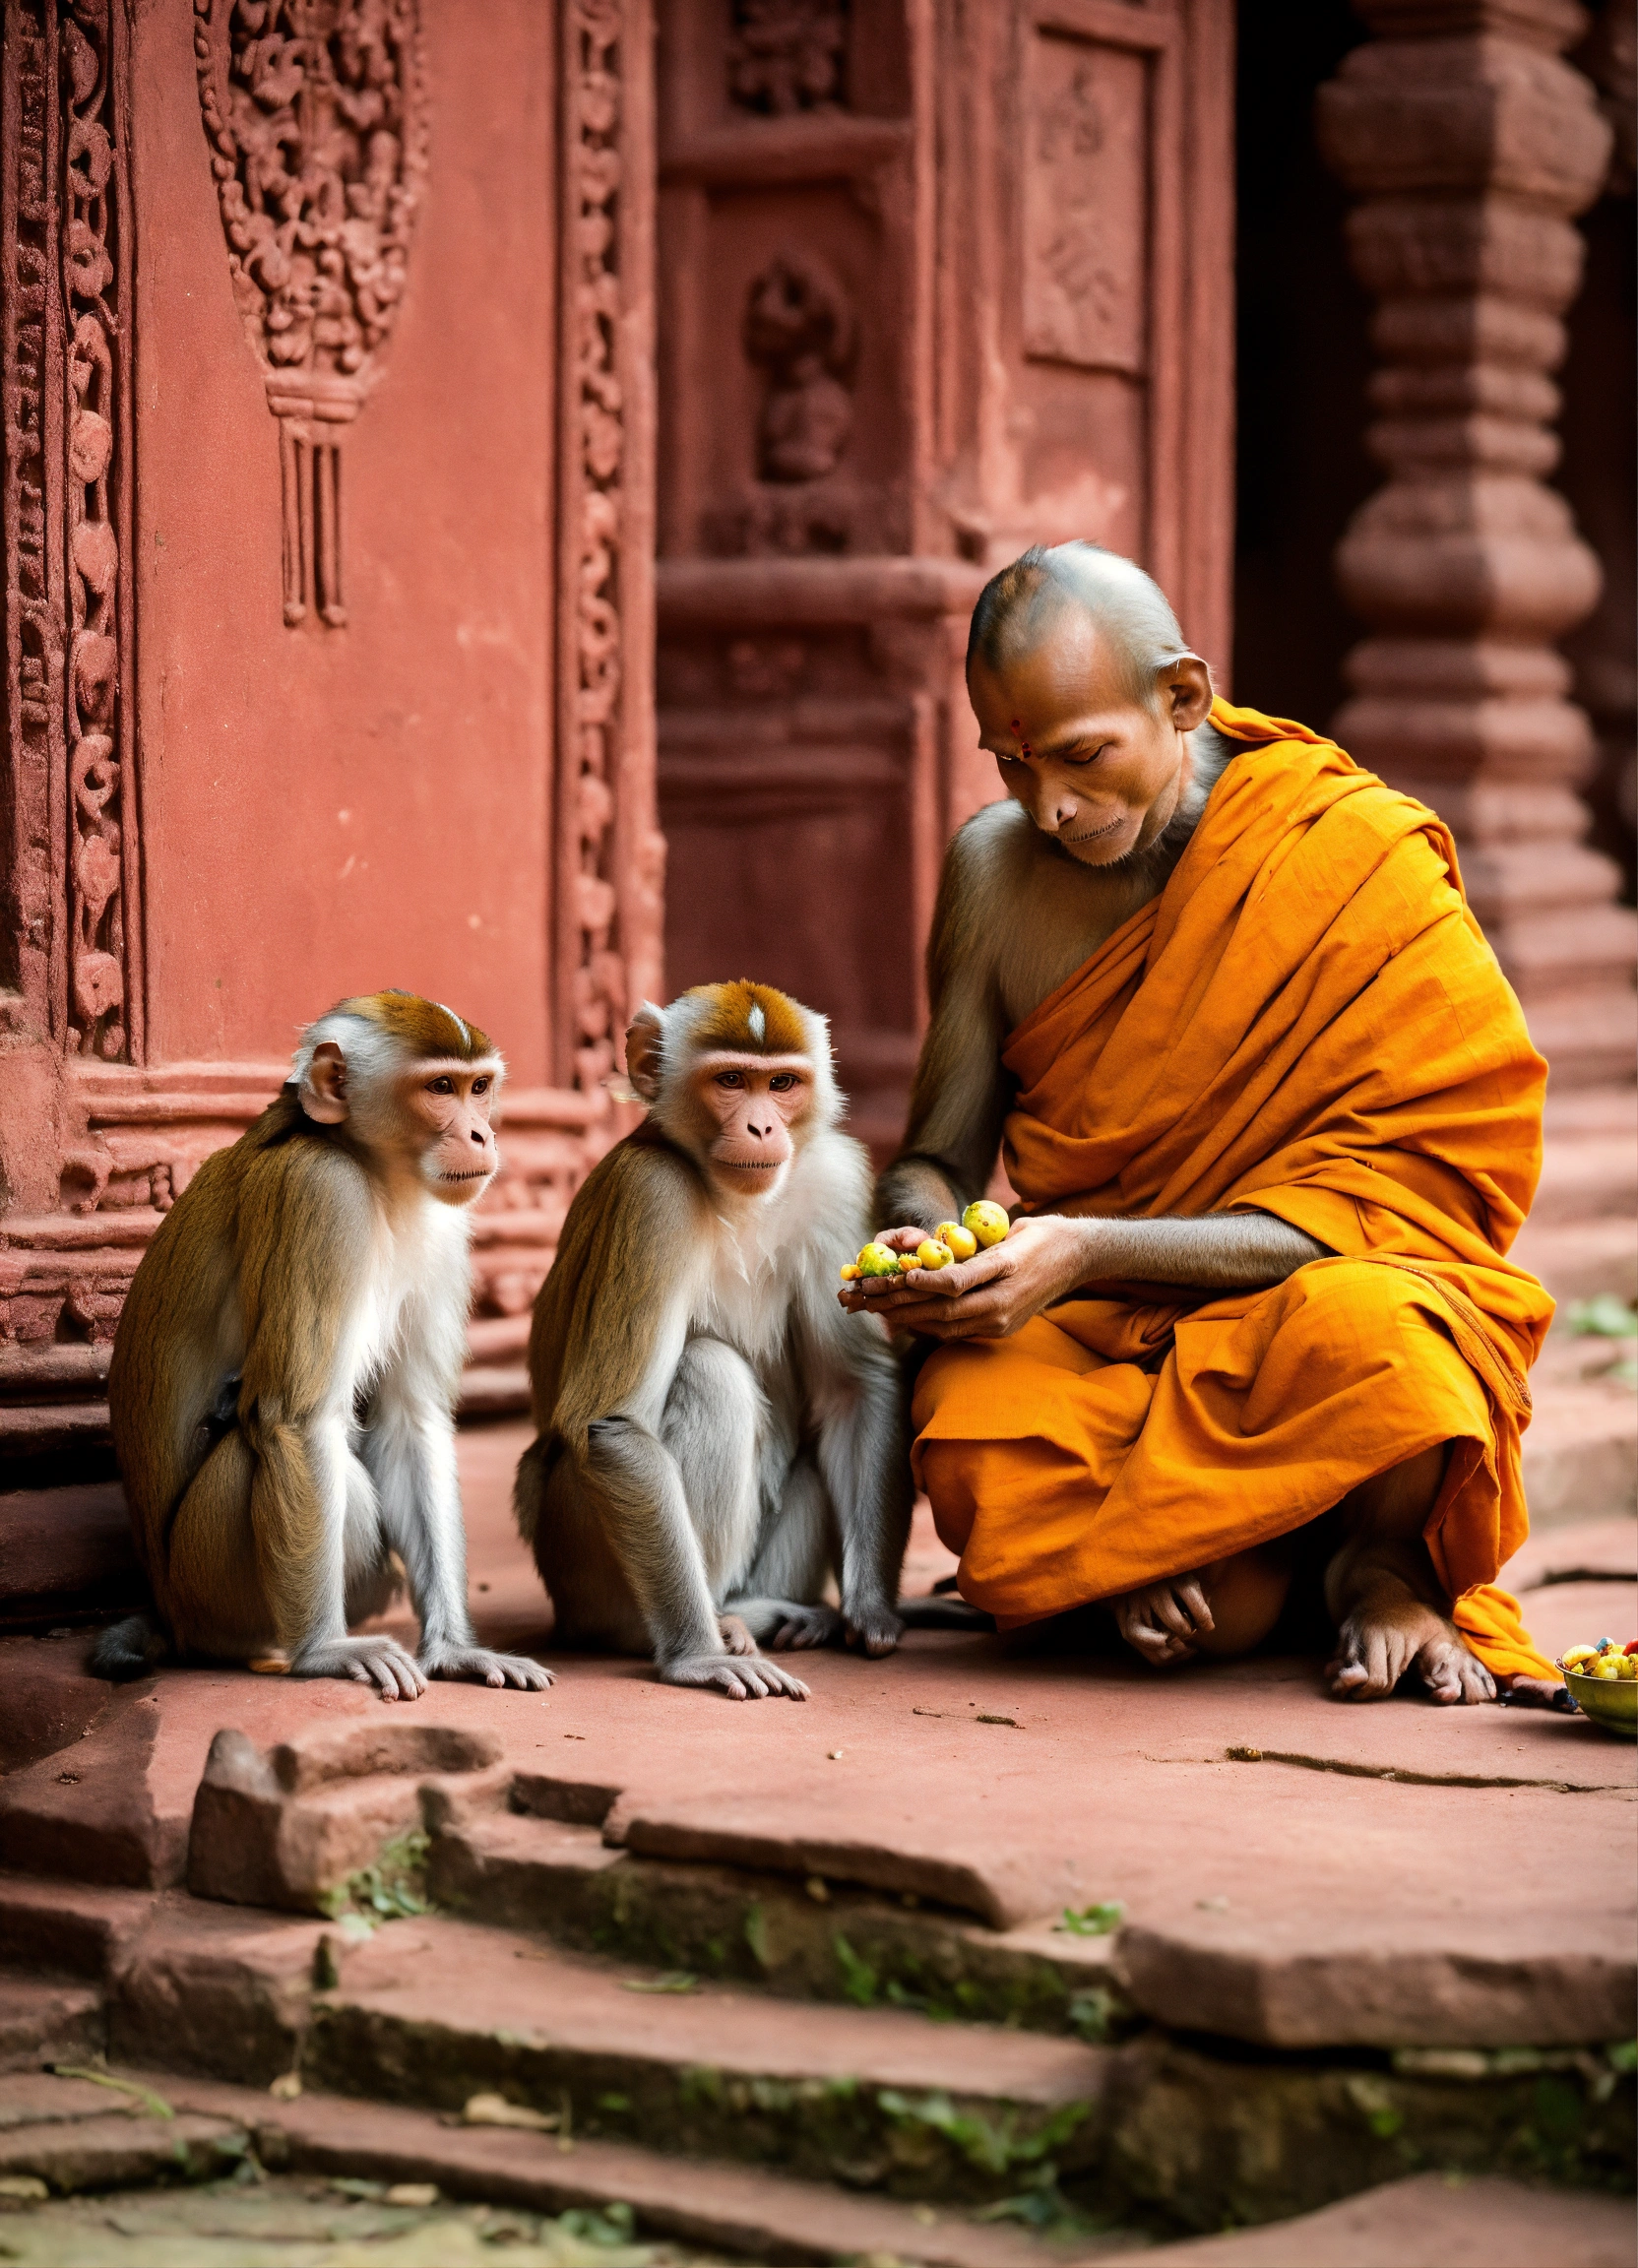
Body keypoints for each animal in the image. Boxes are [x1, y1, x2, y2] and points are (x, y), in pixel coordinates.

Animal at [92, 991, 552, 1700]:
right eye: (440, 1088)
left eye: (480, 1088)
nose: (482, 1134)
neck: (375, 1173)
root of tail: (172, 1617)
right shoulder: (318, 1190)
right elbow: (293, 1417)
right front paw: (323, 1650)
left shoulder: (444, 1226)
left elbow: (408, 1420)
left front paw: (455, 1651)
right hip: (209, 1583)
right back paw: (281, 1649)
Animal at [514, 981, 911, 1701]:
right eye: (730, 1081)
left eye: (781, 1083)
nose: (762, 1128)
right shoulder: (652, 1198)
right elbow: (616, 1424)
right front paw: (696, 1656)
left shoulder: (834, 1178)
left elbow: (854, 1385)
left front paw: (871, 1610)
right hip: (579, 1564)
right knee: (709, 1371)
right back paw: (705, 1627)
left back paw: (767, 1610)